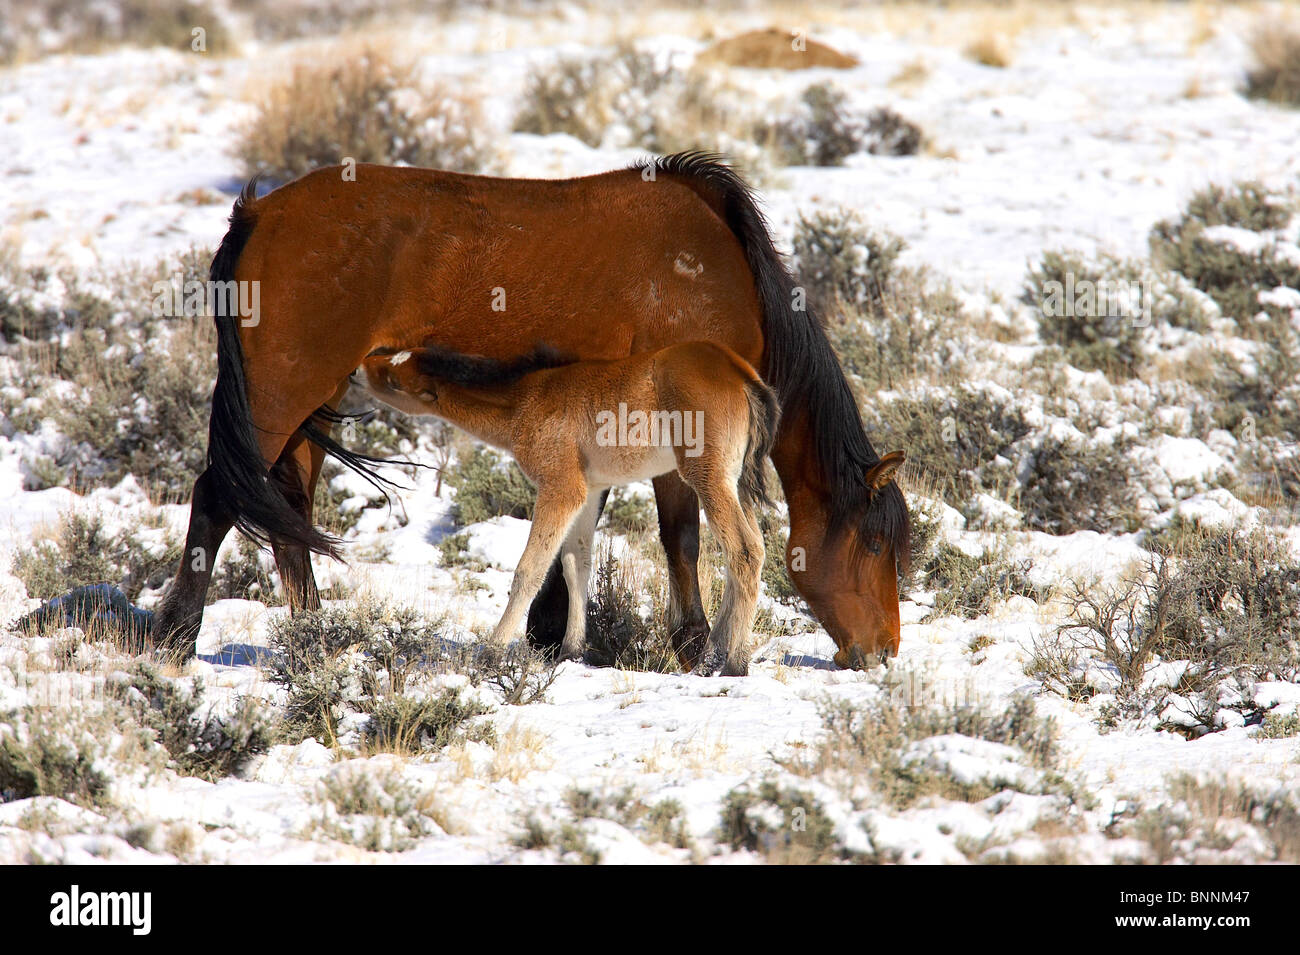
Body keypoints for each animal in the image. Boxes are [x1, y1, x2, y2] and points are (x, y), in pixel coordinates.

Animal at [358, 340, 781, 676]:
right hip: (735, 483)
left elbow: (529, 570)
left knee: (744, 551)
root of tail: (741, 373)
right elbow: (576, 562)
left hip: (707, 477)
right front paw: (571, 652)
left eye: (394, 379)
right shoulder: (590, 490)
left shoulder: (561, 488)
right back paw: (712, 657)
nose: (363, 361)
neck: (523, 401)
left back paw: (734, 664)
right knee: (747, 553)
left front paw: (491, 652)